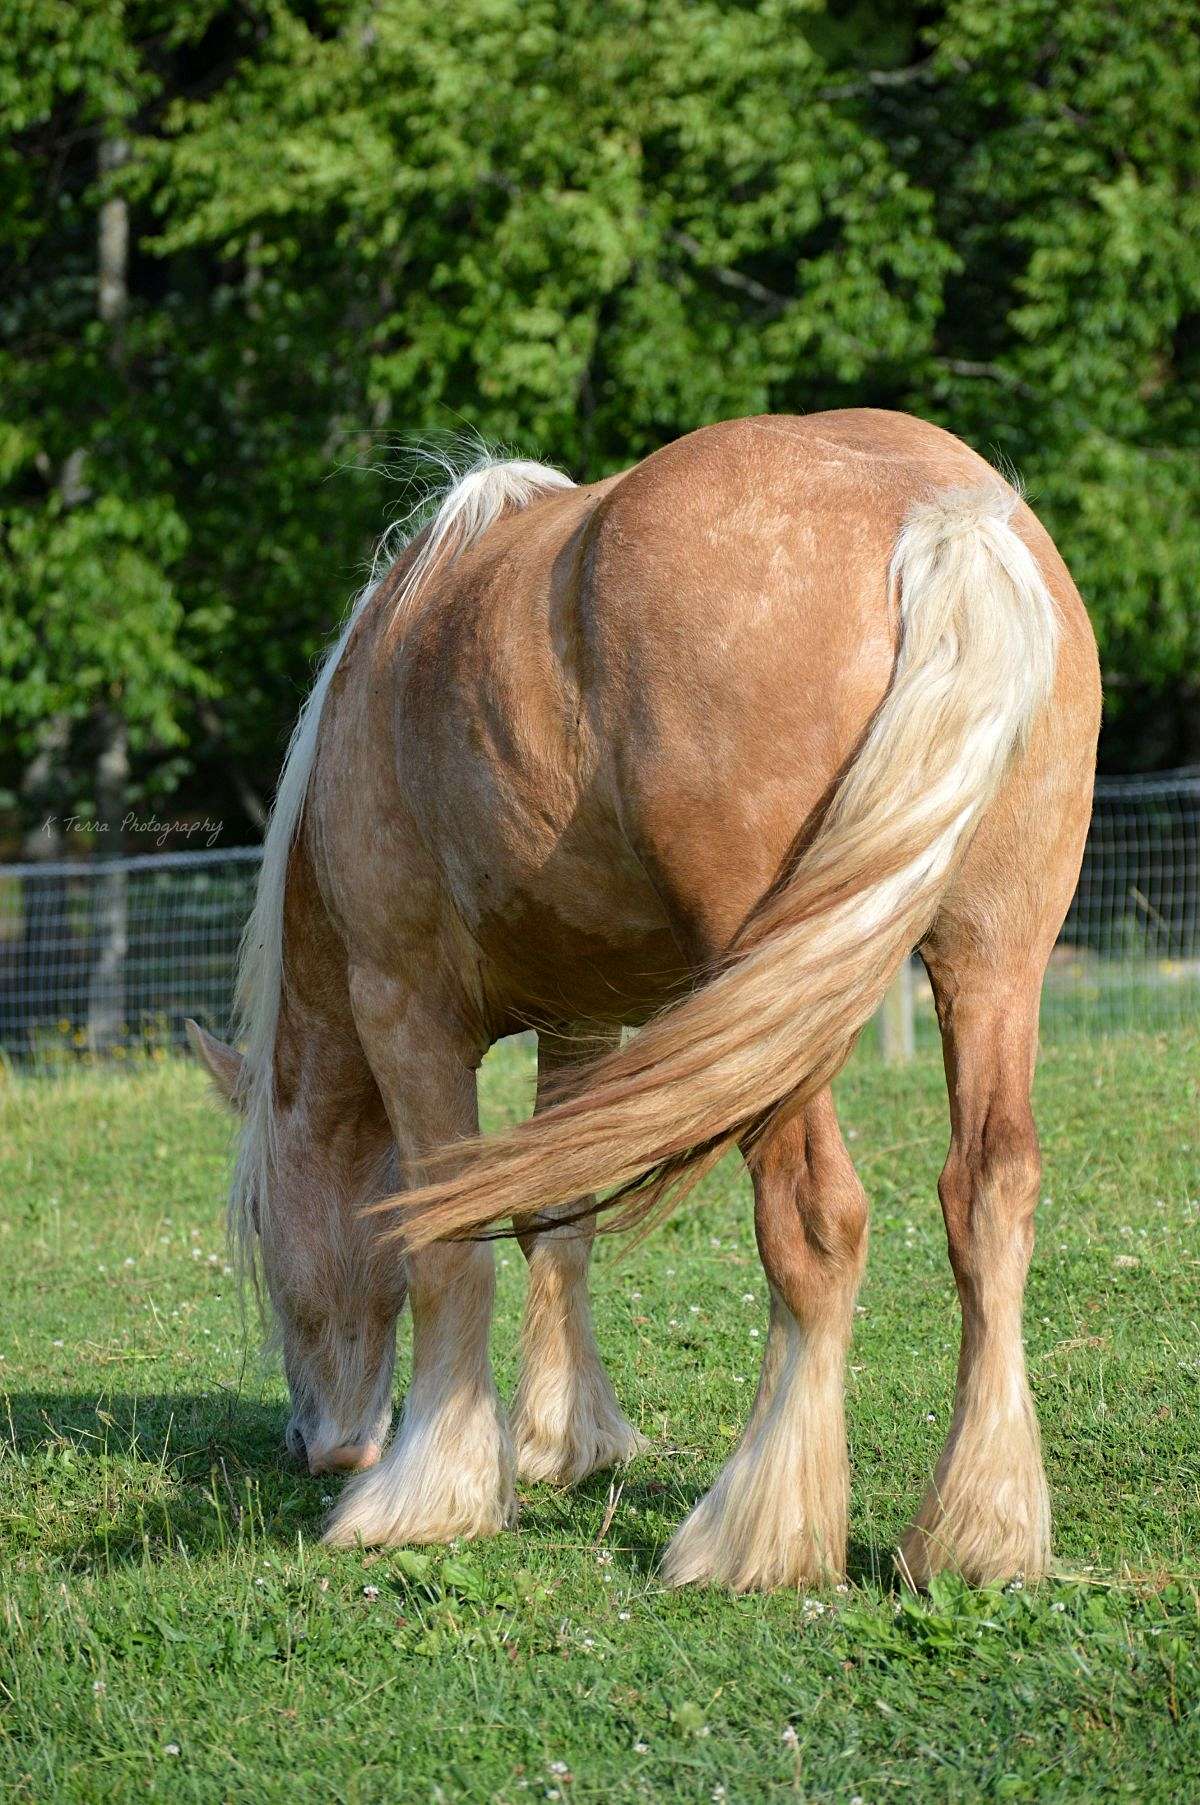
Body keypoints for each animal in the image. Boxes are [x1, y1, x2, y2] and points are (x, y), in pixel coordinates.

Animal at [188, 409, 1100, 1591]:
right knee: (988, 1195)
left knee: (815, 1223)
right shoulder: (582, 1024)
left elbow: (444, 1243)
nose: (319, 1441)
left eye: (259, 1228)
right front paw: (560, 1440)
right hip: (992, 963)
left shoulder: (405, 1011)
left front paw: (427, 1491)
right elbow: (553, 1225)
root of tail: (945, 515)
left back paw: (754, 1533)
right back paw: (974, 1530)